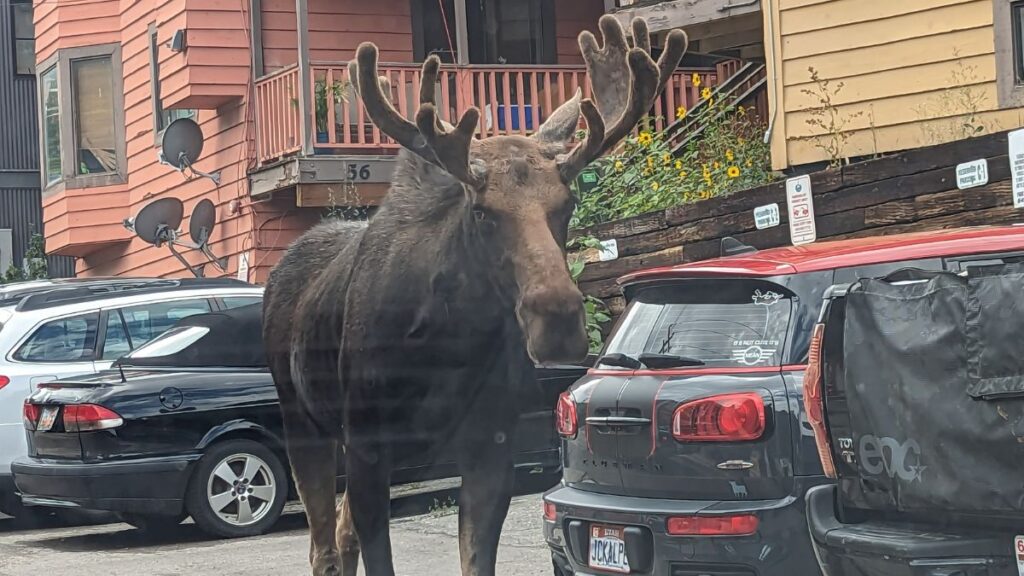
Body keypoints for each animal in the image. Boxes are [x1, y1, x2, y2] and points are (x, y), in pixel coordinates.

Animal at [262, 15, 687, 576]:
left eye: (567, 203)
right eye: (483, 211)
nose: (558, 320)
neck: (450, 341)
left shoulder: (491, 447)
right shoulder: (368, 446)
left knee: (341, 531)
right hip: (302, 421)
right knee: (323, 546)